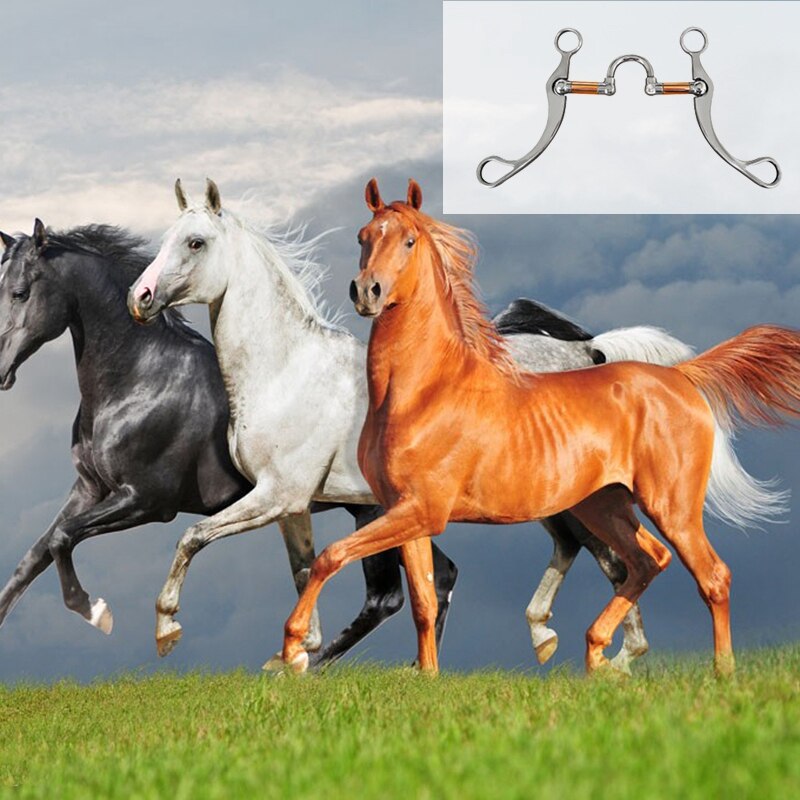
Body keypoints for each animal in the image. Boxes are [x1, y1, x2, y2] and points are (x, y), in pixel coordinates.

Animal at [0, 220, 460, 667]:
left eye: (20, 292)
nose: (1, 371)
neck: (139, 379)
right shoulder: (89, 489)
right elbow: (36, 555)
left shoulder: (146, 500)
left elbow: (64, 538)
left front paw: (98, 612)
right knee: (440, 576)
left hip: (371, 510)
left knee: (388, 596)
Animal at [128, 179, 694, 670]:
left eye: (195, 242)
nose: (140, 298)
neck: (286, 368)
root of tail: (589, 351)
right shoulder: (293, 507)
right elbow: (305, 571)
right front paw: (297, 655)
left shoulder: (277, 495)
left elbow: (192, 537)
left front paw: (167, 630)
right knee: (589, 552)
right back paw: (557, 639)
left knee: (614, 561)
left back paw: (615, 657)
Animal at [279, 178, 800, 676]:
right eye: (363, 236)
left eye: (409, 240)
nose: (367, 291)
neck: (424, 391)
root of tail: (680, 376)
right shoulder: (402, 511)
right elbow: (423, 601)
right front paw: (425, 677)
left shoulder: (422, 510)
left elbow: (330, 557)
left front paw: (292, 650)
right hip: (603, 505)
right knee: (644, 561)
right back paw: (597, 656)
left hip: (671, 506)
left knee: (711, 576)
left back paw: (719, 673)